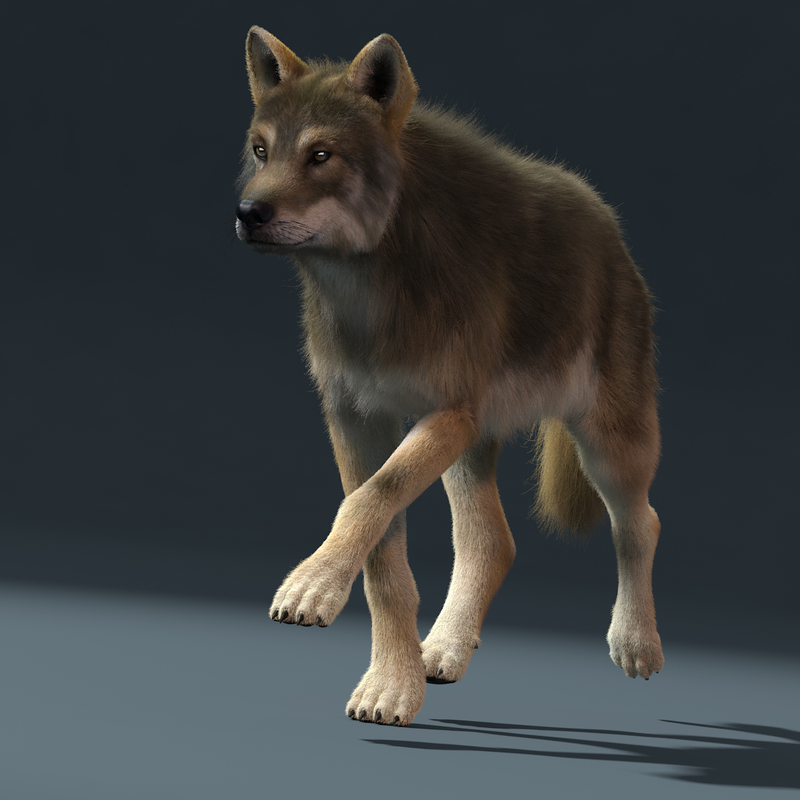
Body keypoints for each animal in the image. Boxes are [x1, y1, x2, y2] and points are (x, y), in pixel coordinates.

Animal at [235, 28, 664, 726]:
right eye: (261, 150)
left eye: (321, 155)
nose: (249, 212)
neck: (371, 289)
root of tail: (608, 222)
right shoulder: (356, 415)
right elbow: (382, 548)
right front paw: (392, 683)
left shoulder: (446, 413)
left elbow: (369, 500)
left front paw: (313, 586)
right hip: (475, 444)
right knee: (494, 542)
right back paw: (441, 651)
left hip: (605, 443)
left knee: (639, 522)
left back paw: (636, 643)